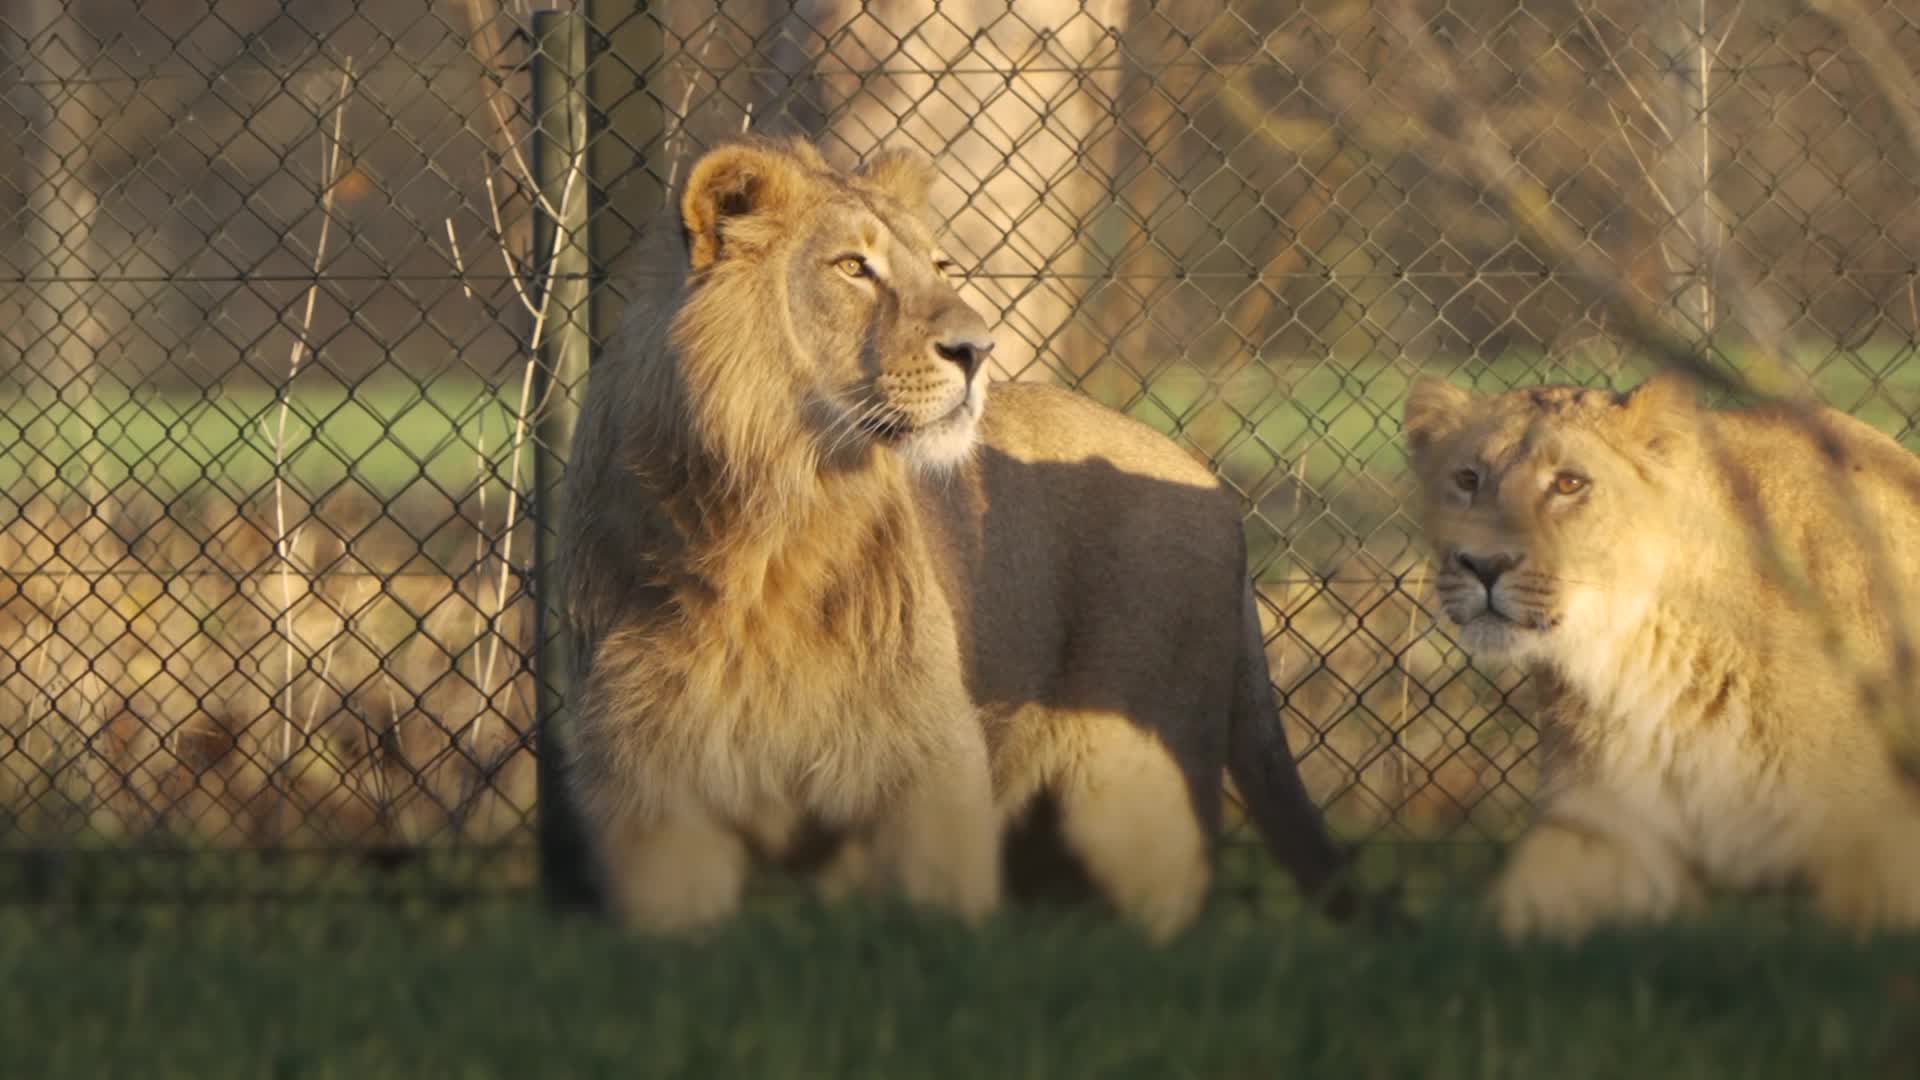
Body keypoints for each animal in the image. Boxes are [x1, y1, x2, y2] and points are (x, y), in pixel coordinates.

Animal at [553, 135, 1353, 940]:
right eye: (853, 267)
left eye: (940, 266)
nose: (977, 350)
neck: (768, 522)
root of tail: (1210, 481)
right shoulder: (654, 802)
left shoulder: (927, 766)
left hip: (1136, 785)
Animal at [1403, 371, 1920, 940]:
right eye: (1467, 479)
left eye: (1569, 484)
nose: (1483, 563)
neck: (1639, 658)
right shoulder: (1602, 825)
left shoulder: (1873, 838)